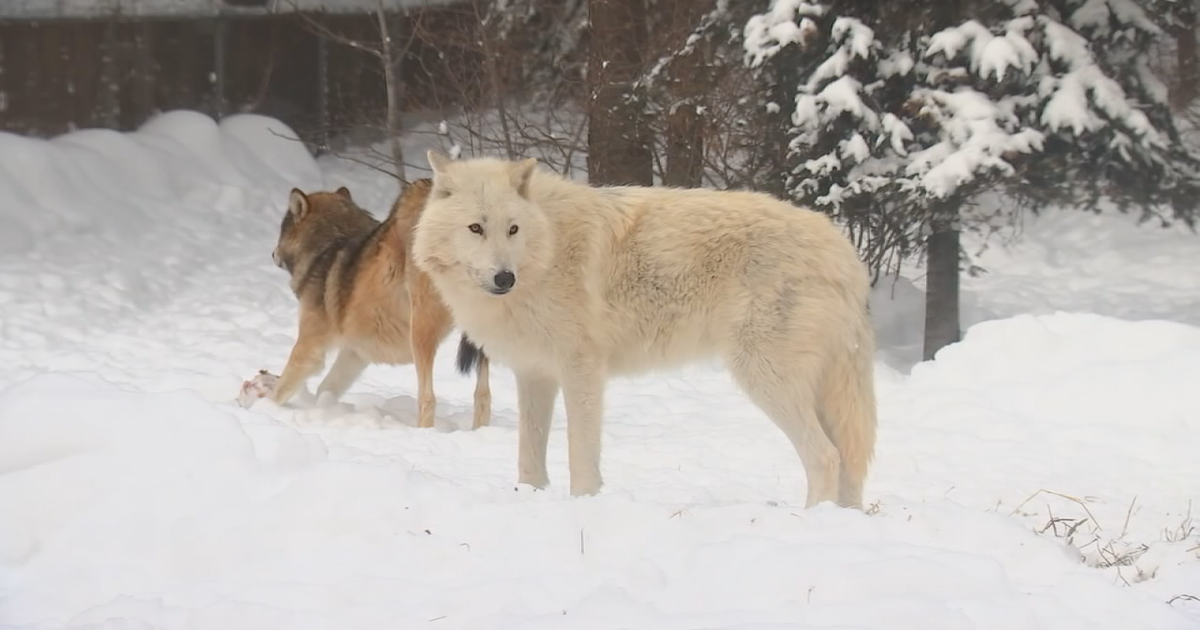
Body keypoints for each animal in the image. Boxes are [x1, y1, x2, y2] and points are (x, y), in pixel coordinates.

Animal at [267, 180, 492, 430]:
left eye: (281, 230)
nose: (272, 253)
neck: (327, 246)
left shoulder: (310, 348)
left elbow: (279, 390)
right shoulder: (355, 352)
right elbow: (326, 388)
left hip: (421, 333)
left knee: (428, 398)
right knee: (483, 396)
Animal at [413, 150, 877, 509]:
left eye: (513, 228)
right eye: (476, 228)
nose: (504, 278)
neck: (546, 252)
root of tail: (843, 250)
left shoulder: (582, 369)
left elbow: (581, 454)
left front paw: (584, 505)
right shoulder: (535, 375)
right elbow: (530, 454)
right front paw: (530, 496)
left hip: (766, 378)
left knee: (826, 457)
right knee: (850, 459)